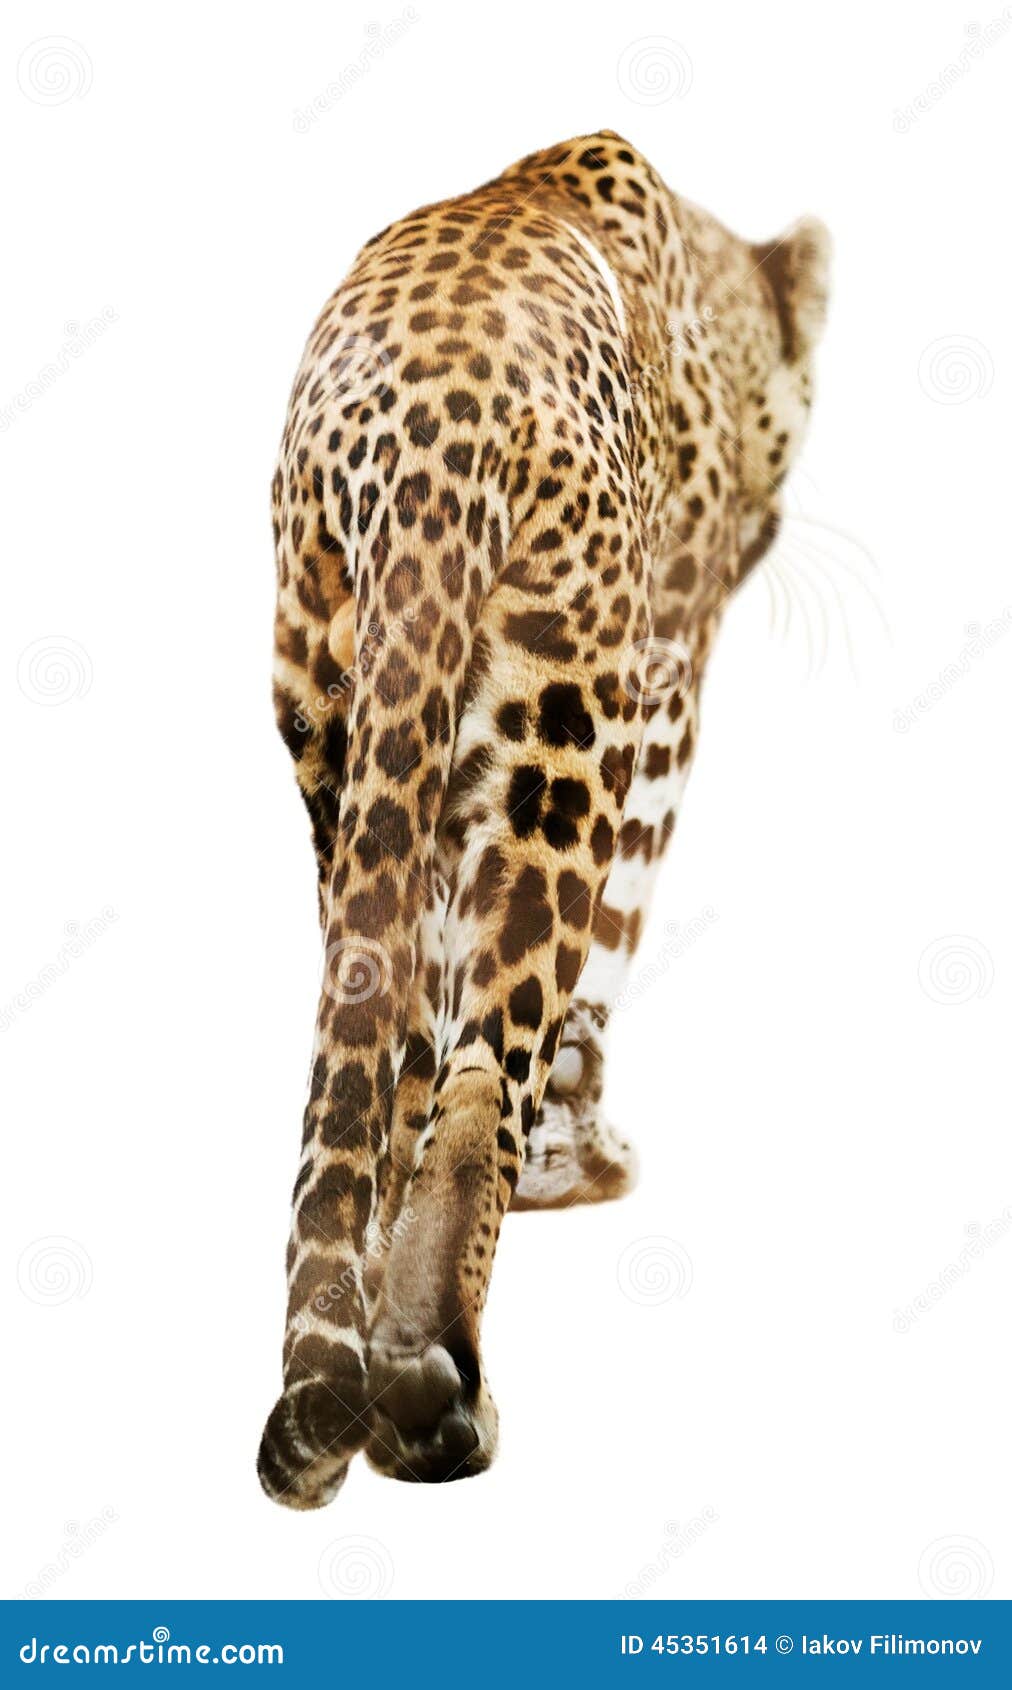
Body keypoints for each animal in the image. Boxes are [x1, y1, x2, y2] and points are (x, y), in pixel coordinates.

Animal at [258, 129, 829, 1508]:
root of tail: (420, 437)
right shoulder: (666, 679)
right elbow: (610, 947)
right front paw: (583, 1152)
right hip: (555, 740)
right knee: (478, 1061)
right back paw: (430, 1389)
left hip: (333, 723)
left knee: (394, 1041)